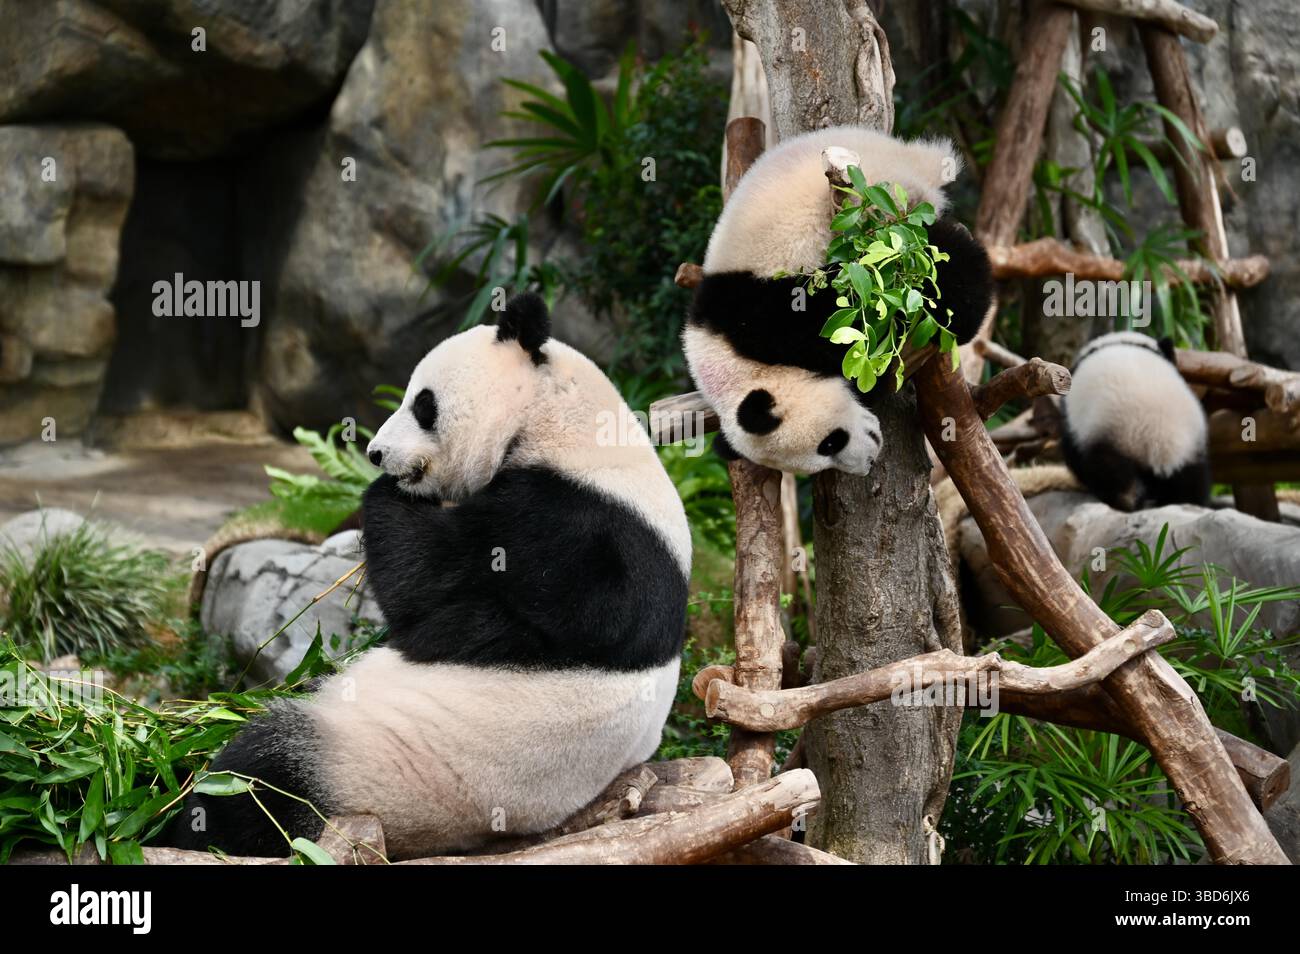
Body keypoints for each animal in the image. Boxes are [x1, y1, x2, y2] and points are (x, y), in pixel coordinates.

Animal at [168, 294, 691, 859]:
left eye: (423, 403)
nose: (375, 453)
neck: (560, 424)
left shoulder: (573, 528)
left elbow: (429, 587)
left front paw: (382, 493)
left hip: (376, 765)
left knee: (260, 777)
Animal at [683, 125, 995, 475]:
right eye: (825, 455)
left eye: (830, 443)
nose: (866, 464)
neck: (729, 357)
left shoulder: (761, 317)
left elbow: (837, 326)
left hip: (884, 205)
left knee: (934, 254)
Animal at [1060, 330, 1210, 512]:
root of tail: (1159, 440)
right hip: (1189, 451)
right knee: (1191, 485)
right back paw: (1187, 504)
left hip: (1113, 436)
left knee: (1111, 474)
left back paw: (1125, 500)